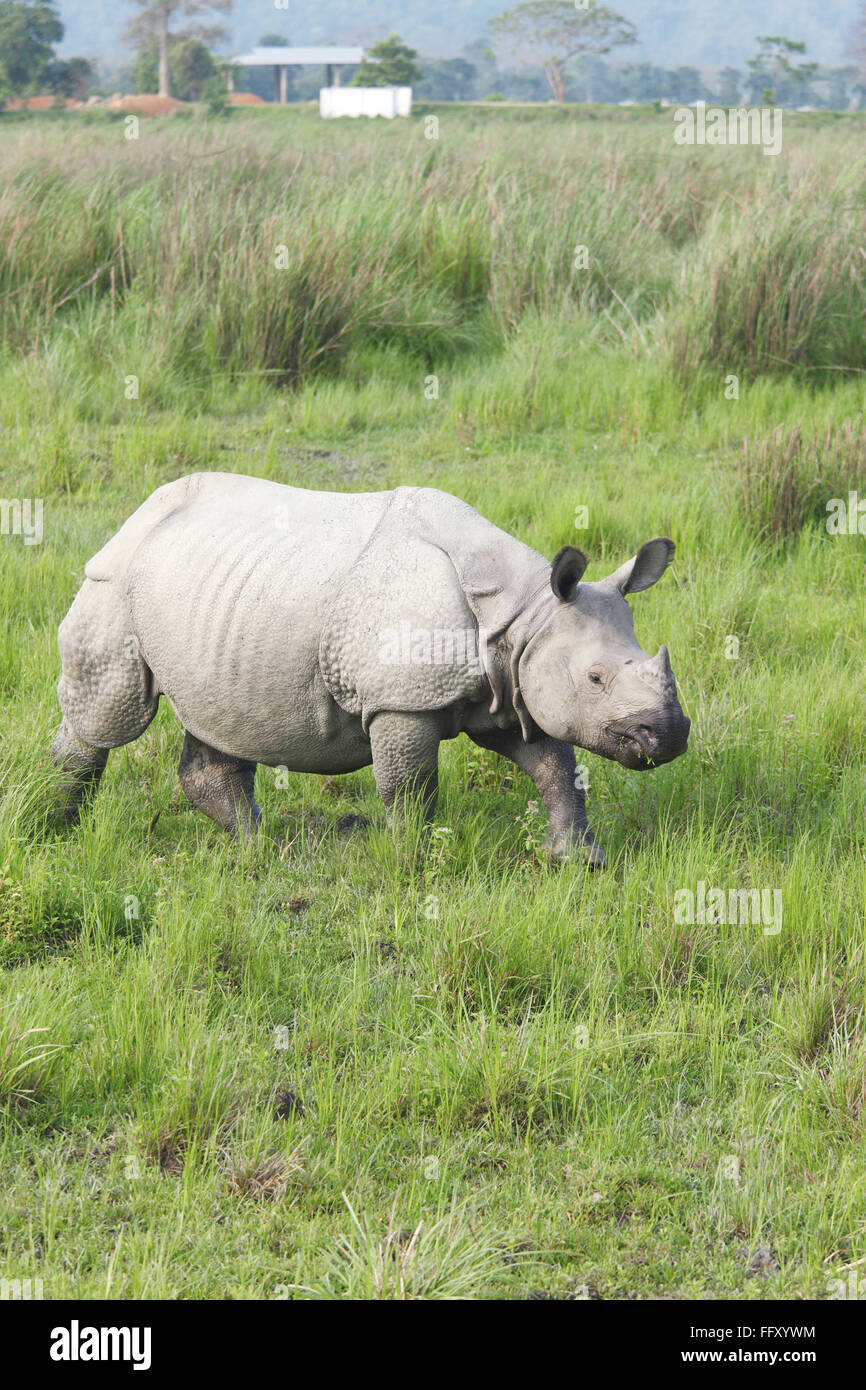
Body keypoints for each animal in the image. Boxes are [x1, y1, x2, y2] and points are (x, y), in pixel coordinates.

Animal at [52, 473, 690, 865]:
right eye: (596, 679)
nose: (669, 735)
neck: (524, 612)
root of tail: (137, 513)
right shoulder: (403, 699)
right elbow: (409, 785)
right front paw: (416, 859)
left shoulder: (510, 686)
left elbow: (556, 768)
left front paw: (579, 861)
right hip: (113, 580)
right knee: (109, 717)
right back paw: (55, 828)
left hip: (221, 602)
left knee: (219, 718)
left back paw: (260, 848)